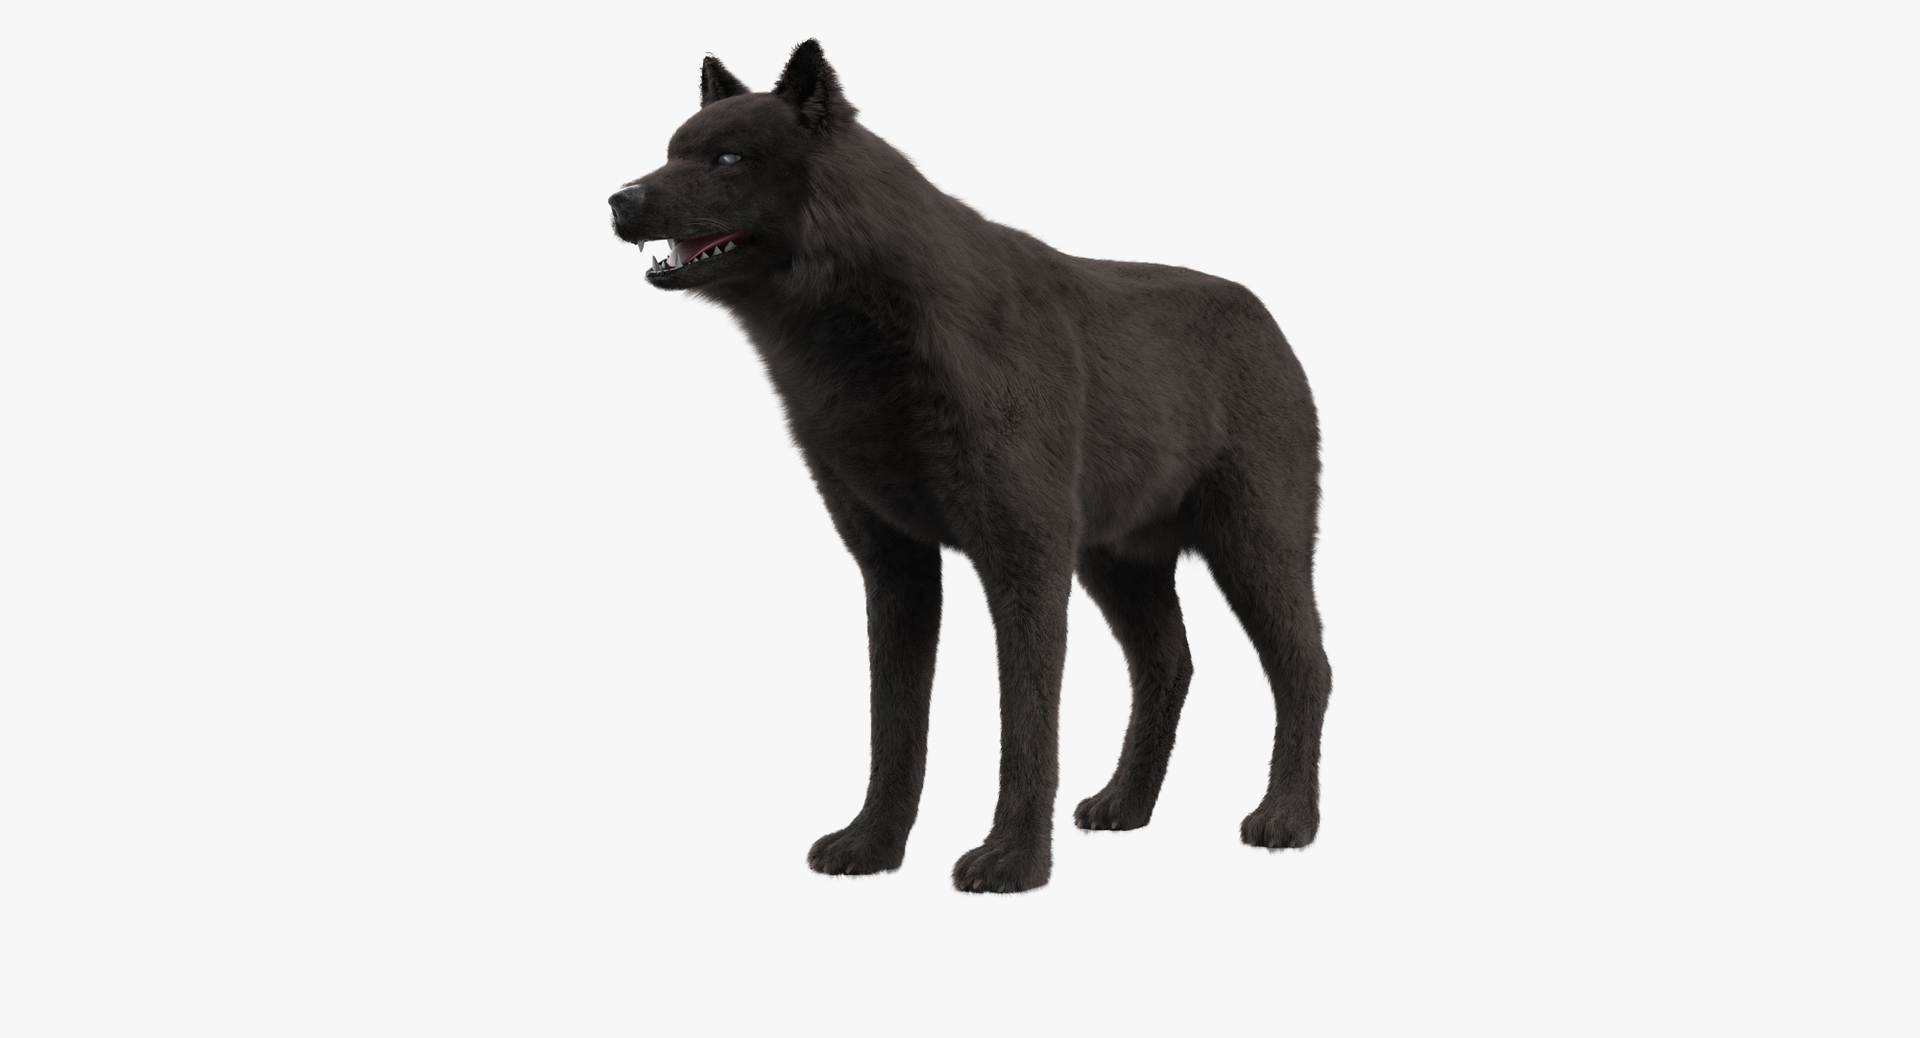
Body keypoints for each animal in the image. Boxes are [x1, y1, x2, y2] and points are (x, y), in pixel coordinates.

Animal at [608, 41, 1331, 893]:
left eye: (726, 159)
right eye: (669, 152)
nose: (618, 200)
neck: (870, 335)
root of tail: (1265, 318)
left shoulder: (1024, 557)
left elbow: (1025, 722)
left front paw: (1012, 860)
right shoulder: (896, 565)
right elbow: (895, 727)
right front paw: (872, 845)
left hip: (1256, 548)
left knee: (1305, 668)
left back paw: (1287, 819)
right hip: (1118, 565)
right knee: (1170, 665)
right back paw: (1125, 805)